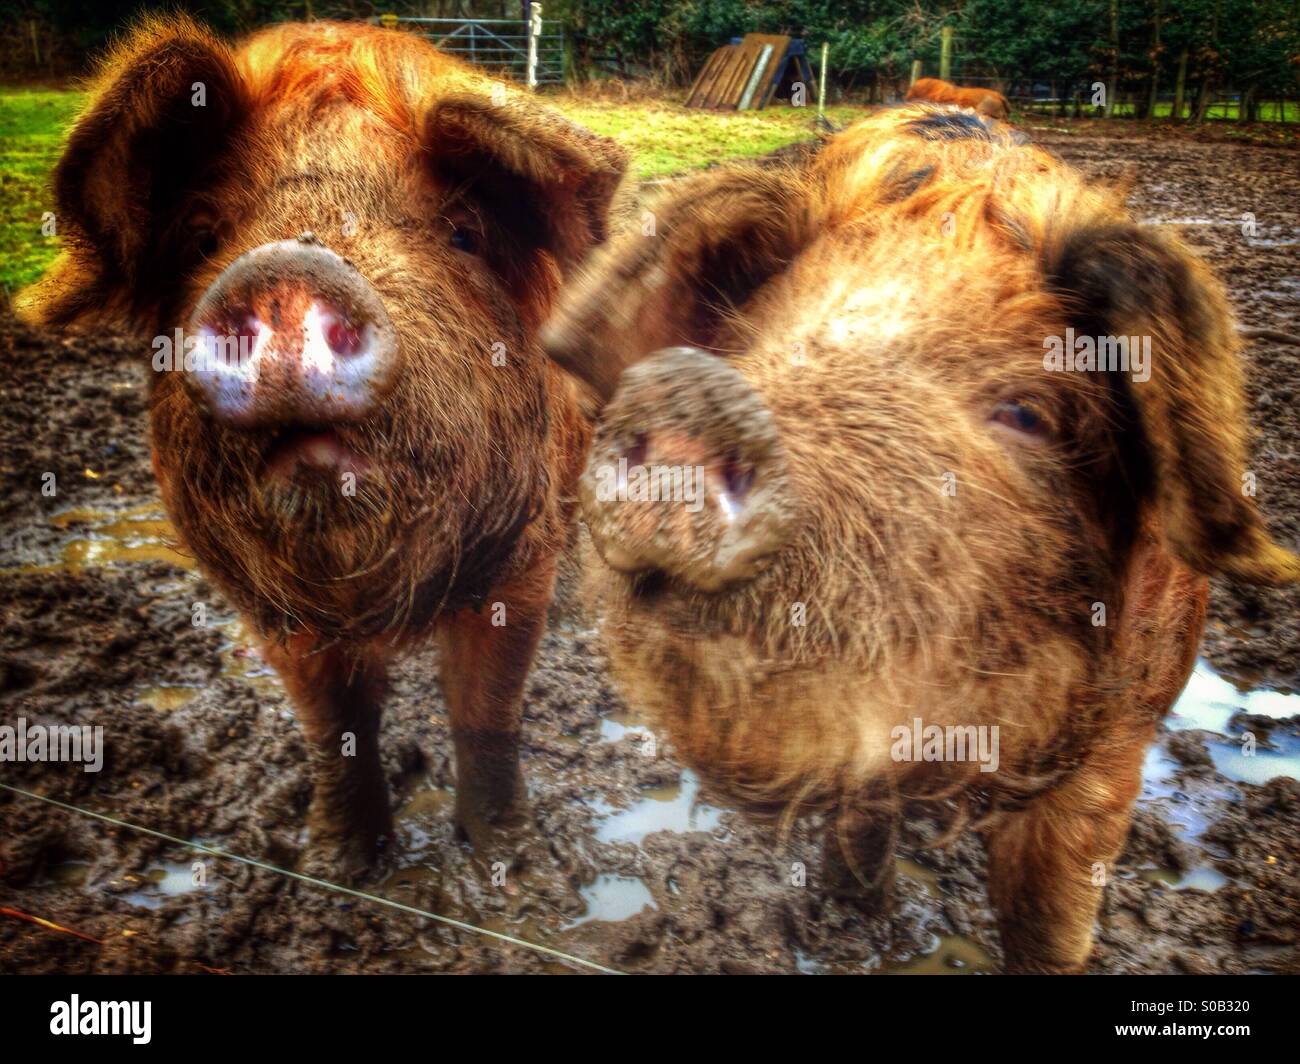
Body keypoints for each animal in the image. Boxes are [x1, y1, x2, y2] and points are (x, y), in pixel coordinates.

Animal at [19, 17, 627, 878]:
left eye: (462, 232)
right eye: (203, 235)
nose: (288, 270)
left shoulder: (522, 558)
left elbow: (488, 710)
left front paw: (515, 874)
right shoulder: (272, 608)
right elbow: (331, 721)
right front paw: (333, 869)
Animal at [541, 105, 1300, 972]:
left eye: (1027, 412)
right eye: (752, 343)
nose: (694, 390)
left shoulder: (1118, 741)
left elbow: (1050, 911)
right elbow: (861, 821)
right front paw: (856, 924)